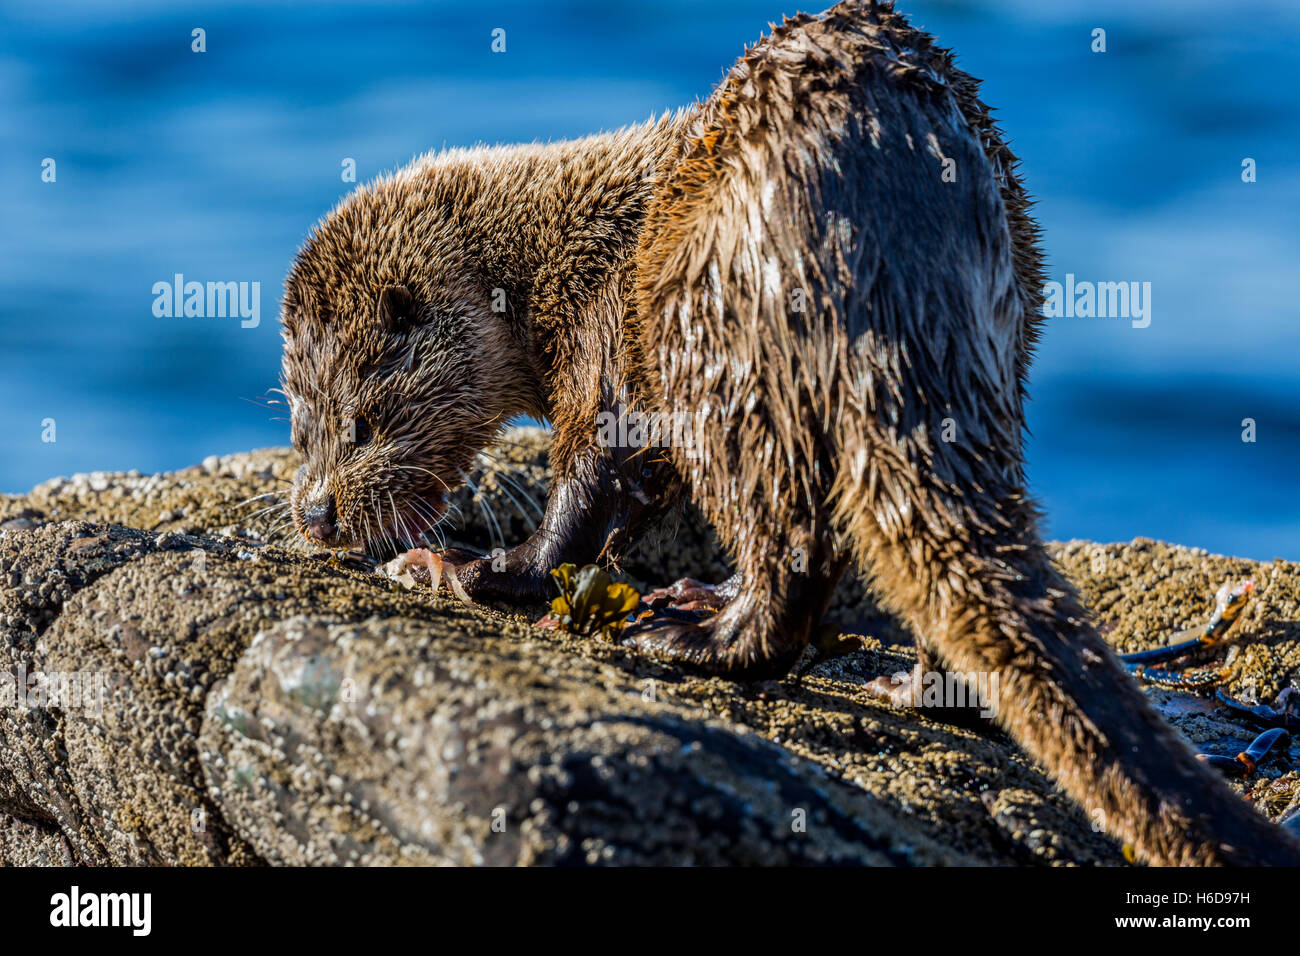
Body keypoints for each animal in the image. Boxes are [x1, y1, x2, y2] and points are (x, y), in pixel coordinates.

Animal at [279, 1, 1300, 865]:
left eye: (362, 424)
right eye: (297, 425)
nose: (317, 514)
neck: (553, 257)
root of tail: (880, 235)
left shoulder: (604, 330)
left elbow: (588, 478)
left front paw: (474, 568)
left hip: (712, 333)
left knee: (789, 533)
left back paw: (693, 637)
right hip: (1006, 330)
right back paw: (899, 684)